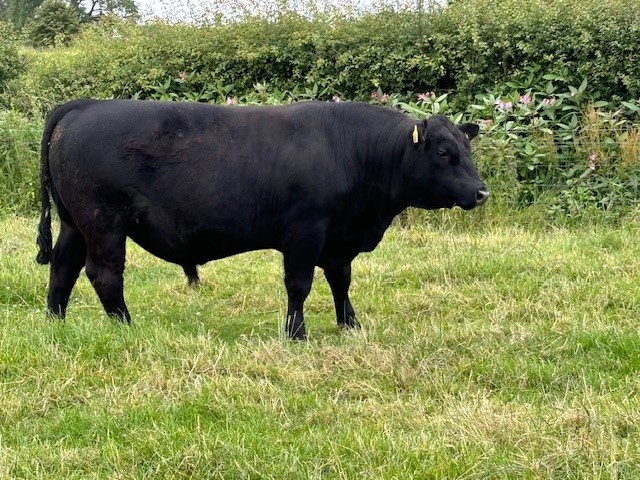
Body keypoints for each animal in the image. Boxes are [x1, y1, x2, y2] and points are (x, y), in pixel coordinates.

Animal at [36, 99, 488, 340]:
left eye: (467, 149)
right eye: (444, 153)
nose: (482, 191)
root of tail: (87, 104)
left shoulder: (339, 239)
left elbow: (341, 281)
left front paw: (350, 325)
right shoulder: (306, 231)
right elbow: (299, 284)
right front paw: (296, 333)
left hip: (75, 223)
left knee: (63, 268)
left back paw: (55, 321)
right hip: (103, 221)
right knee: (104, 274)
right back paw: (126, 326)